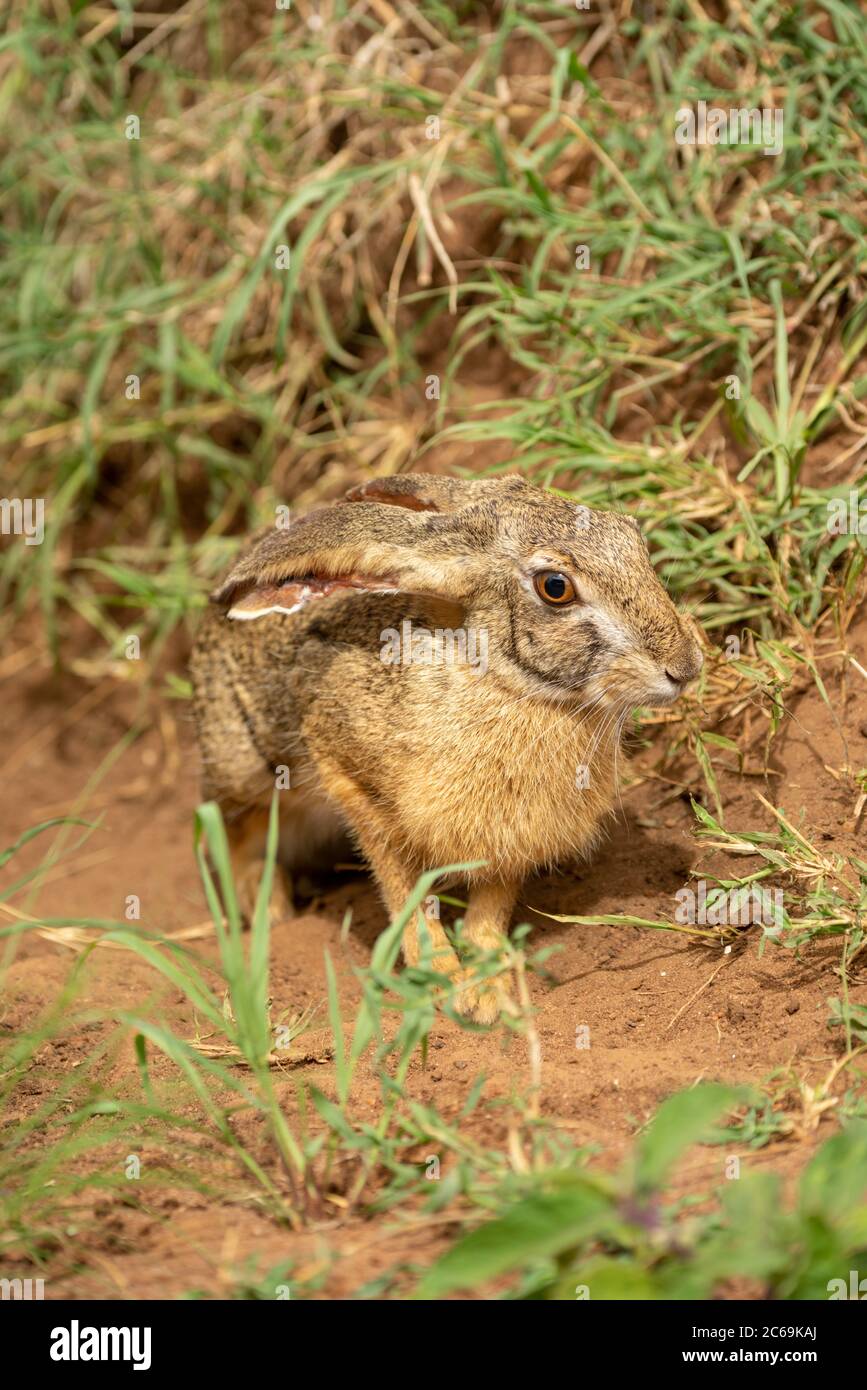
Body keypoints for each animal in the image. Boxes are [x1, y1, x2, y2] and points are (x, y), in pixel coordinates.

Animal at [190, 472, 703, 1022]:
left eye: (634, 539)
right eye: (555, 587)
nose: (685, 666)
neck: (505, 682)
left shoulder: (512, 836)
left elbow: (492, 904)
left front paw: (489, 988)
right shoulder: (344, 770)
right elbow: (400, 885)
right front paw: (442, 980)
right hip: (245, 764)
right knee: (235, 831)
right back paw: (269, 909)